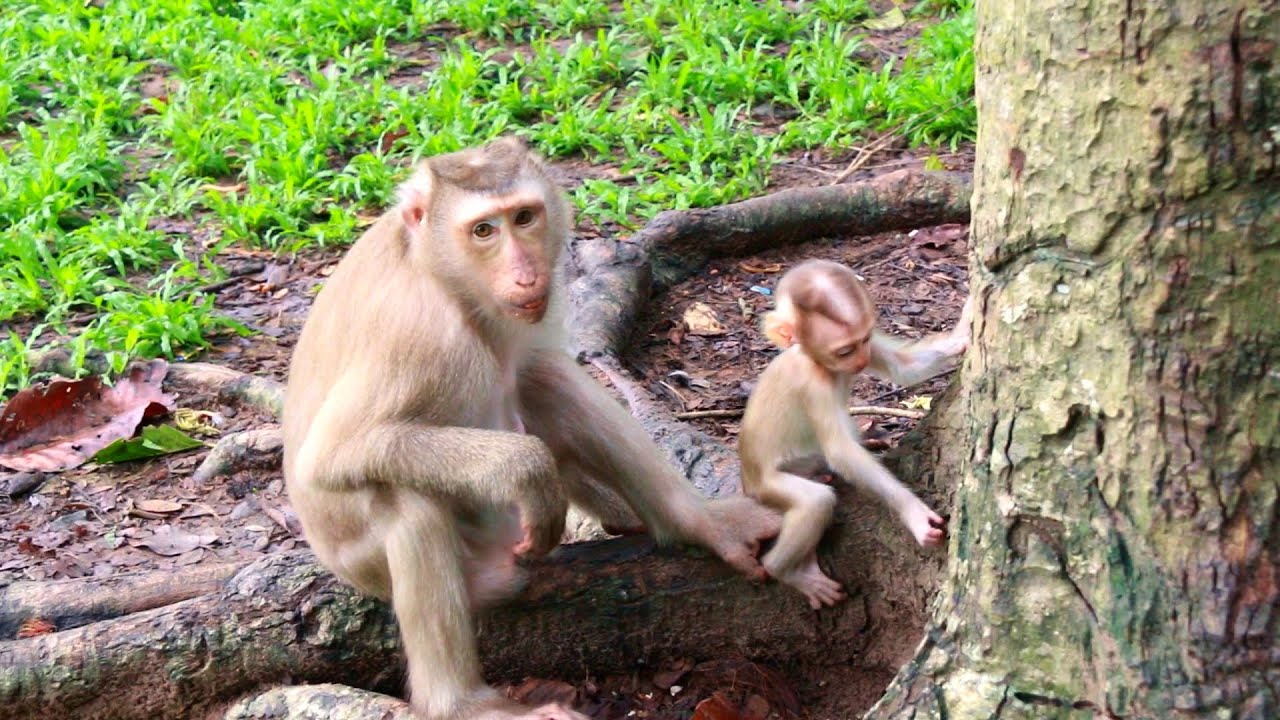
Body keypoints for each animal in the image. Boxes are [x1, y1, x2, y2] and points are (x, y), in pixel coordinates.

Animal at [283, 137, 780, 720]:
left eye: (523, 217)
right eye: (483, 231)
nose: (526, 274)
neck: (445, 280)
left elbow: (536, 371)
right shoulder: (416, 335)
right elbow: (333, 456)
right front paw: (527, 471)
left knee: (544, 377)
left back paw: (696, 521)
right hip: (386, 561)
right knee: (406, 501)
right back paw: (463, 704)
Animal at [738, 258, 970, 609]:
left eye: (864, 340)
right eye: (845, 350)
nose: (861, 359)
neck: (817, 363)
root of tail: (746, 479)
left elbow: (905, 367)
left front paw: (963, 330)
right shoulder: (812, 383)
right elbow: (840, 451)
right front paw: (914, 513)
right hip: (767, 486)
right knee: (815, 502)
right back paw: (786, 570)